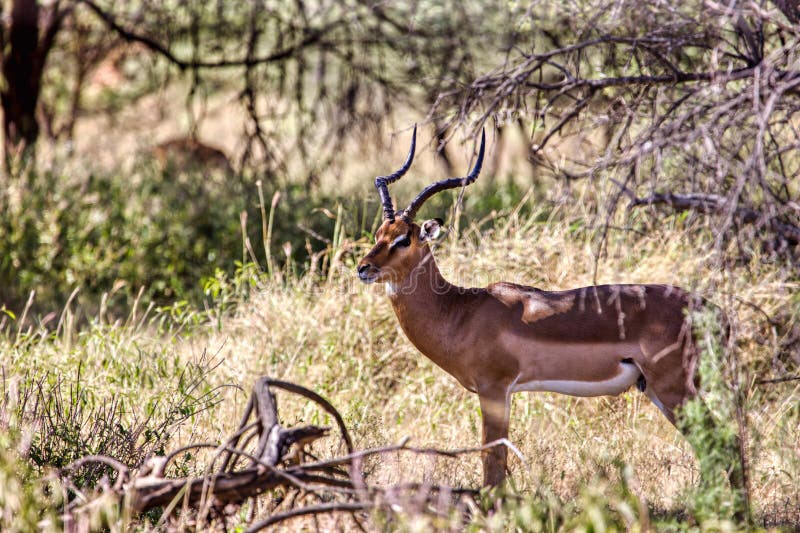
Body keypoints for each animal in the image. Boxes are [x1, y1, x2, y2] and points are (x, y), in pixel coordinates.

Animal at [357, 127, 705, 487]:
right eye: (379, 233)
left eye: (404, 239)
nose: (363, 268)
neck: (460, 312)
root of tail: (701, 305)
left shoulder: (494, 390)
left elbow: (493, 463)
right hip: (659, 389)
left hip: (674, 388)